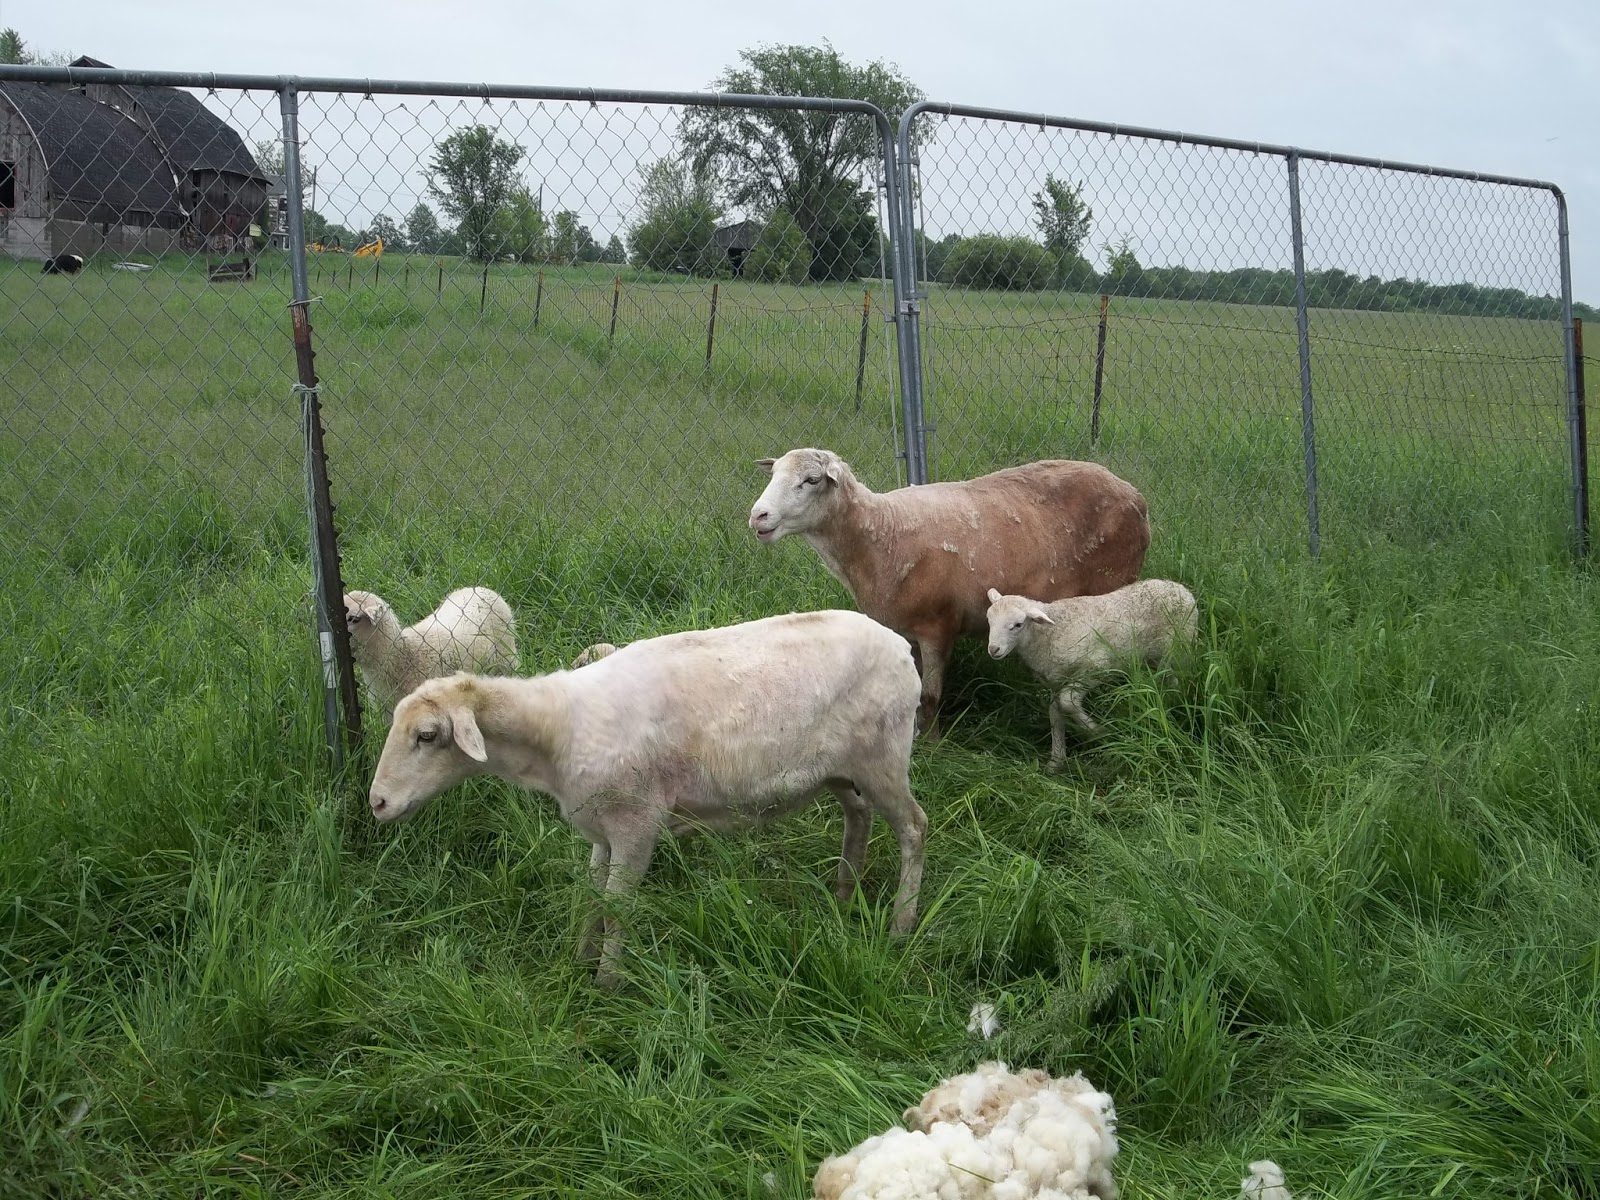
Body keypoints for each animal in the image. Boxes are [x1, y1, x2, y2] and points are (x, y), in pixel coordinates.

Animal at [366, 609, 929, 988]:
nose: (376, 804)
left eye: (427, 736)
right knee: (858, 814)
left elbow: (617, 908)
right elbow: (589, 897)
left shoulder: (637, 825)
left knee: (914, 827)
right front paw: (580, 960)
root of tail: (899, 645)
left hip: (883, 758)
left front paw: (606, 985)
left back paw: (901, 924)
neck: (557, 731)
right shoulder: (599, 830)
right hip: (840, 770)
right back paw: (844, 892)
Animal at [749, 448, 1149, 739]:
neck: (881, 534)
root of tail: (1134, 494)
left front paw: (933, 745)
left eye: (812, 479)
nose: (758, 516)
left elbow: (929, 696)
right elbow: (912, 694)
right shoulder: (904, 630)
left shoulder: (937, 627)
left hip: (1113, 584)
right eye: (773, 474)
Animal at [984, 579, 1197, 770]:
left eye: (1018, 624)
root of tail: (1181, 589)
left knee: (1177, 679)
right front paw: (1057, 759)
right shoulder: (1056, 680)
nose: (993, 649)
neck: (1048, 633)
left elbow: (1067, 702)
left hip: (1178, 648)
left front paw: (1098, 732)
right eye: (988, 620)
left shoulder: (1097, 667)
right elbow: (1055, 713)